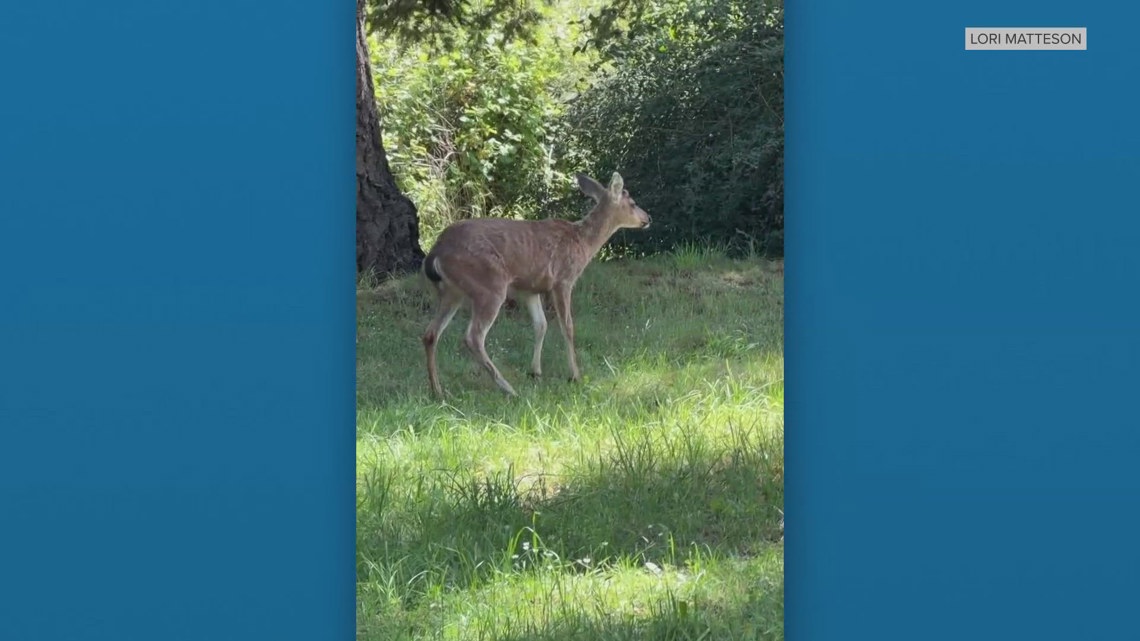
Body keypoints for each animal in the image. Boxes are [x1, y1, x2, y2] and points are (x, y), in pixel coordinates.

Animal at [420, 172, 652, 398]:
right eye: (632, 203)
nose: (648, 218)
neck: (583, 243)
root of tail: (436, 253)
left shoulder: (530, 289)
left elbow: (541, 325)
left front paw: (535, 372)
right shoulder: (563, 280)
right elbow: (567, 326)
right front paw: (574, 375)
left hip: (452, 292)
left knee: (431, 333)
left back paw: (437, 390)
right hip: (489, 285)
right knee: (473, 337)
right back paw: (508, 388)